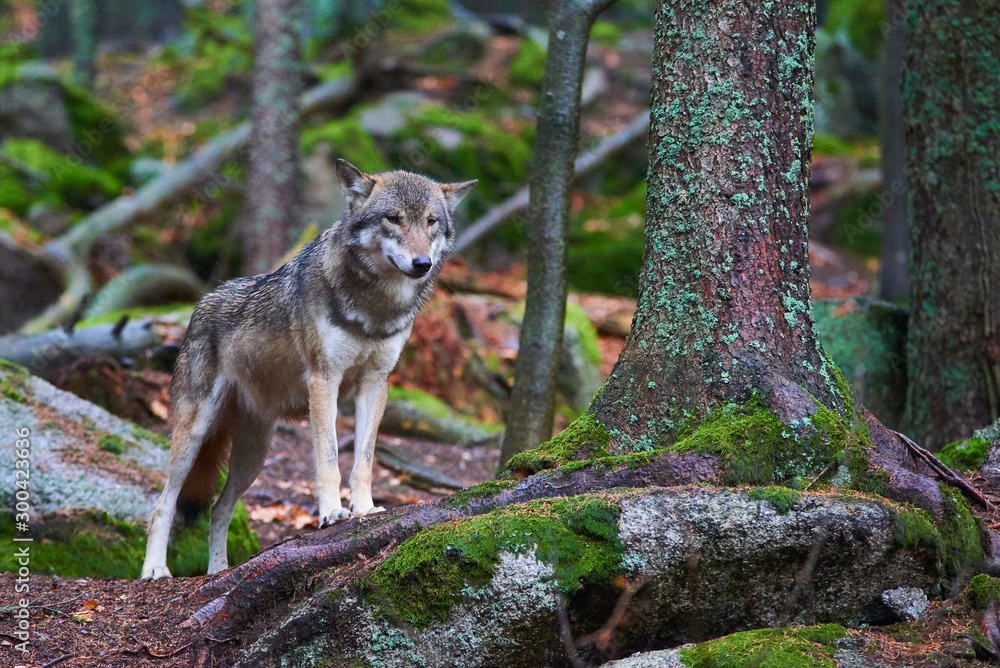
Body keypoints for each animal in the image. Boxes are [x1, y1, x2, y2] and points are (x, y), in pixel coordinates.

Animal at [140, 160, 476, 579]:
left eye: (431, 221)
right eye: (393, 218)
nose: (422, 264)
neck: (375, 307)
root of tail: (201, 304)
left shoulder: (376, 382)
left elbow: (364, 460)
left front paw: (365, 509)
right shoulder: (323, 379)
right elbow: (328, 458)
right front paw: (332, 513)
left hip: (254, 455)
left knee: (219, 510)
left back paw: (217, 571)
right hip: (195, 433)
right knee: (162, 504)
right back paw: (154, 569)